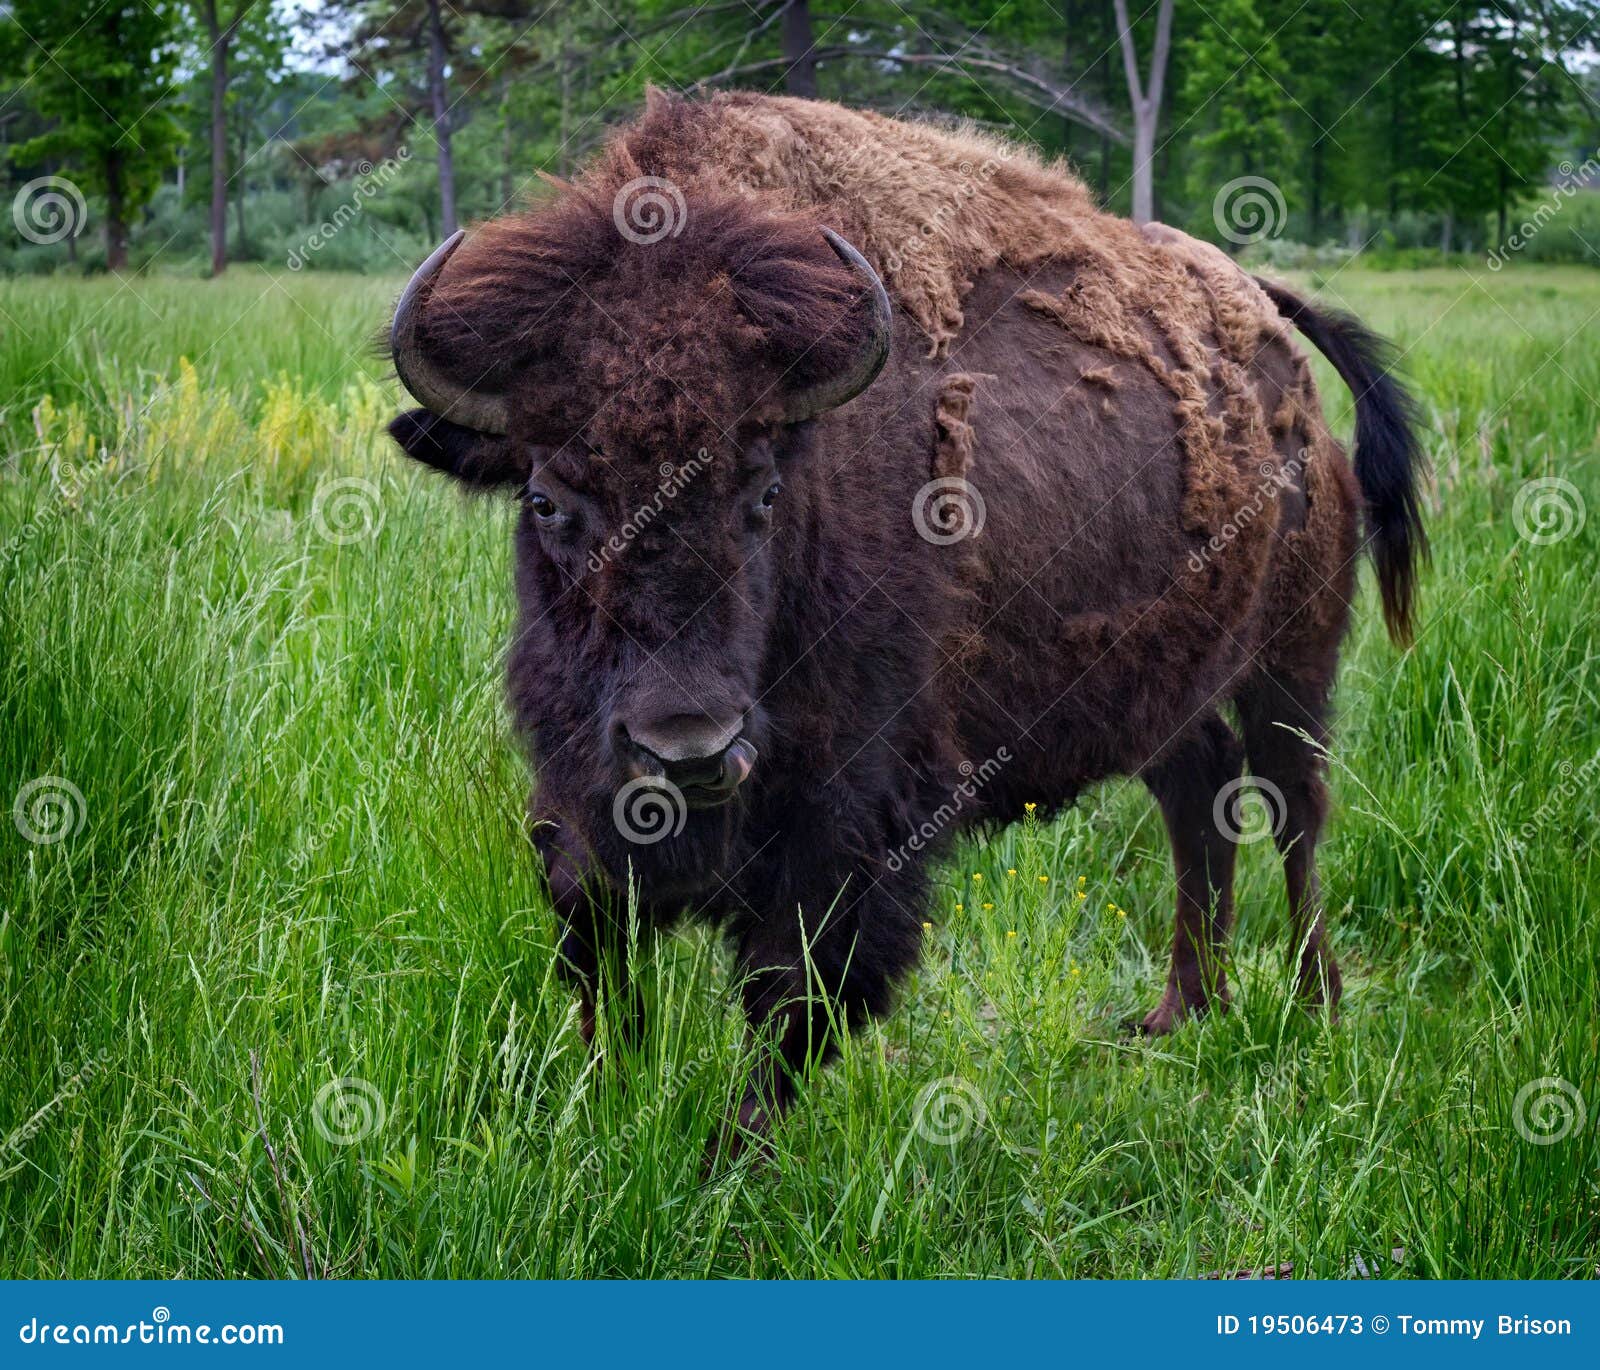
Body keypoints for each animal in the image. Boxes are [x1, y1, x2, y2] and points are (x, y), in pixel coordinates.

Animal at [385, 91, 1425, 1158]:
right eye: (545, 499)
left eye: (763, 491)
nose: (687, 747)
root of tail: (1271, 332)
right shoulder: (579, 808)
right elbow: (598, 947)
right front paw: (612, 1111)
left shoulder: (851, 827)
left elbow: (795, 991)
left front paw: (732, 1156)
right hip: (1162, 681)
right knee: (1200, 791)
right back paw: (1178, 1014)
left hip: (1292, 659)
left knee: (1293, 808)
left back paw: (1312, 1007)